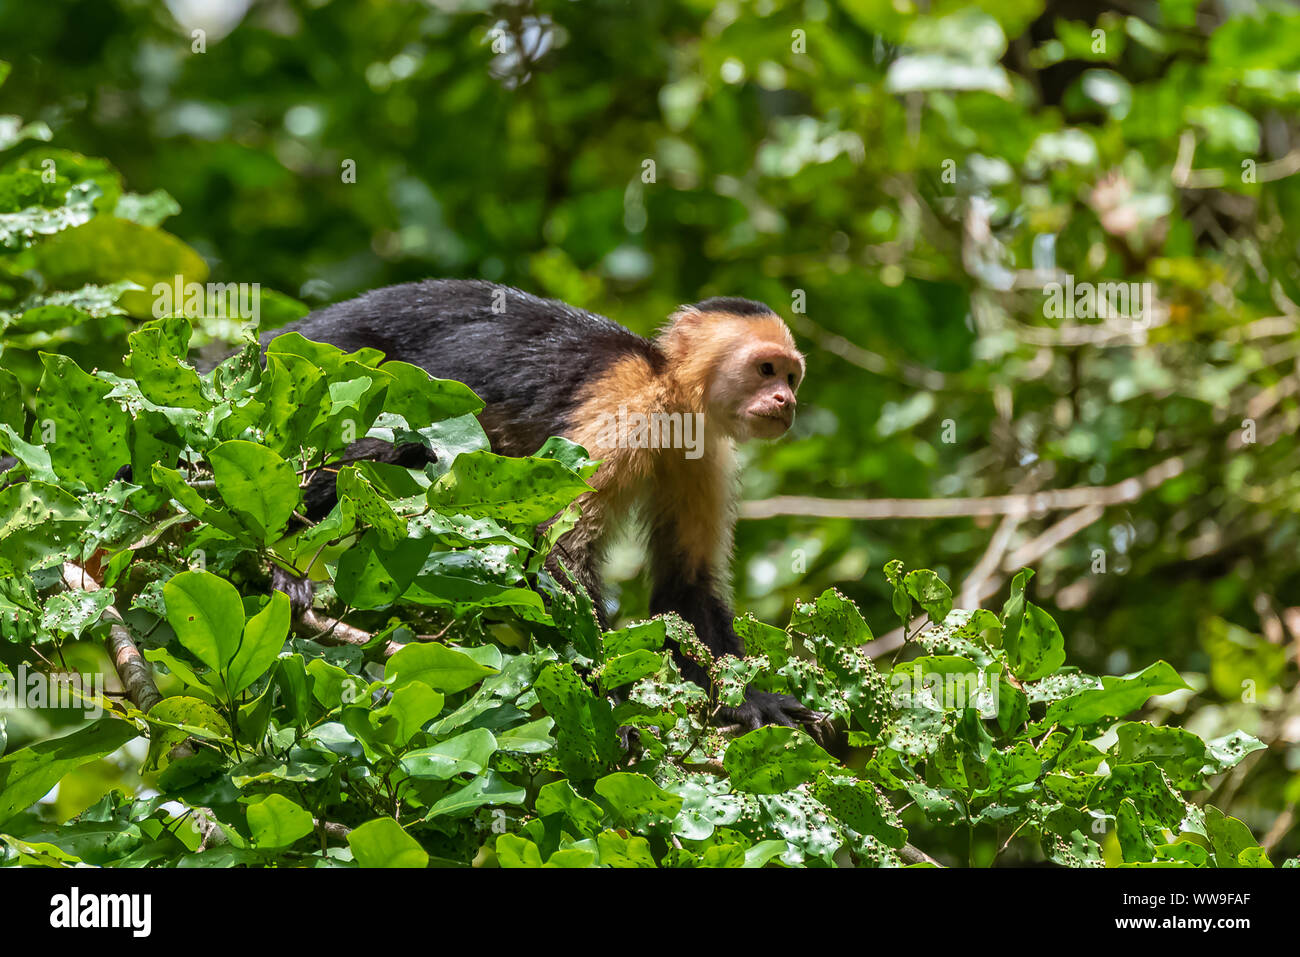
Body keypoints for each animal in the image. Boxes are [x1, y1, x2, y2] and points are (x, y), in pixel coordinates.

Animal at [264, 279, 820, 735]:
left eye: (791, 378)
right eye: (765, 370)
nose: (785, 402)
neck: (672, 394)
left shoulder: (702, 451)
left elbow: (684, 585)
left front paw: (749, 700)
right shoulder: (625, 404)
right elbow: (558, 554)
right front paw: (609, 705)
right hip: (331, 366)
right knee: (379, 449)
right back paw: (274, 566)